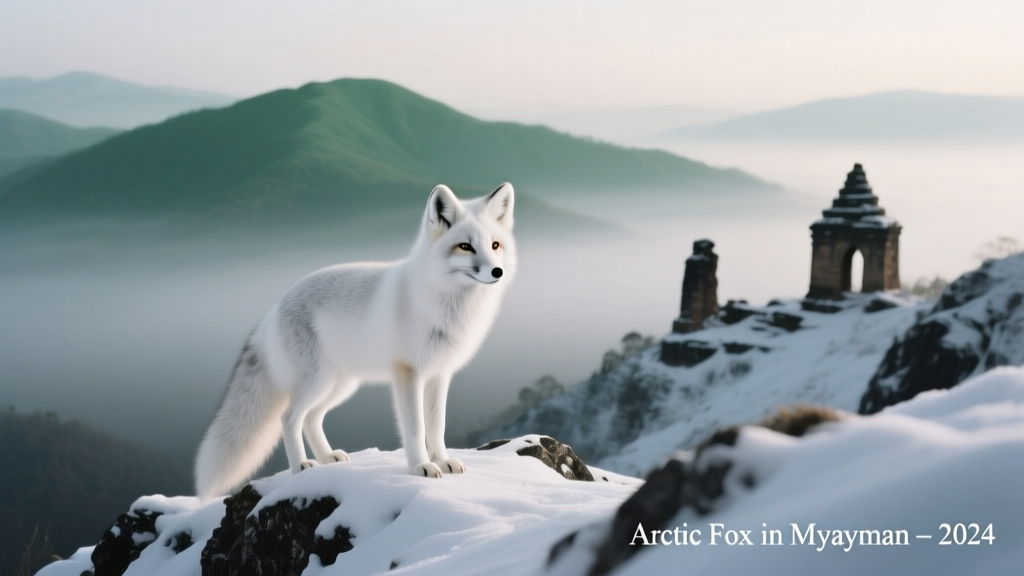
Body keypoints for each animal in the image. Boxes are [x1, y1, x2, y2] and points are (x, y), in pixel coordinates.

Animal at [195, 183, 516, 500]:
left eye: (495, 245)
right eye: (465, 246)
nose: (497, 272)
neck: (443, 301)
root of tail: (272, 311)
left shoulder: (439, 374)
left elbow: (437, 427)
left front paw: (443, 461)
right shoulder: (408, 373)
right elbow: (415, 429)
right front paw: (420, 467)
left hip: (339, 385)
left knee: (311, 419)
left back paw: (327, 458)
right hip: (317, 382)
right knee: (289, 418)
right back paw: (301, 466)